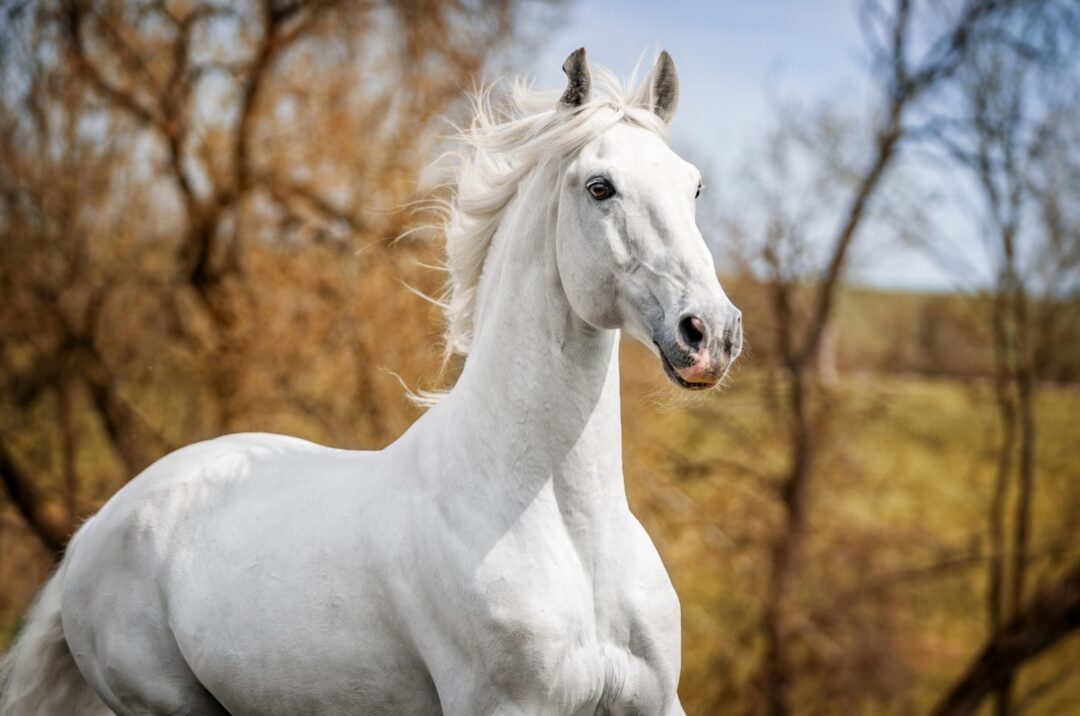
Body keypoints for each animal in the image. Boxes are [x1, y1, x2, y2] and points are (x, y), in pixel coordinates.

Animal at [0, 48, 742, 716]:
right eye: (600, 187)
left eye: (694, 186)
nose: (710, 334)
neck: (566, 531)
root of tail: (94, 531)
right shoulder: (503, 706)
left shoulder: (656, 702)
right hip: (168, 706)